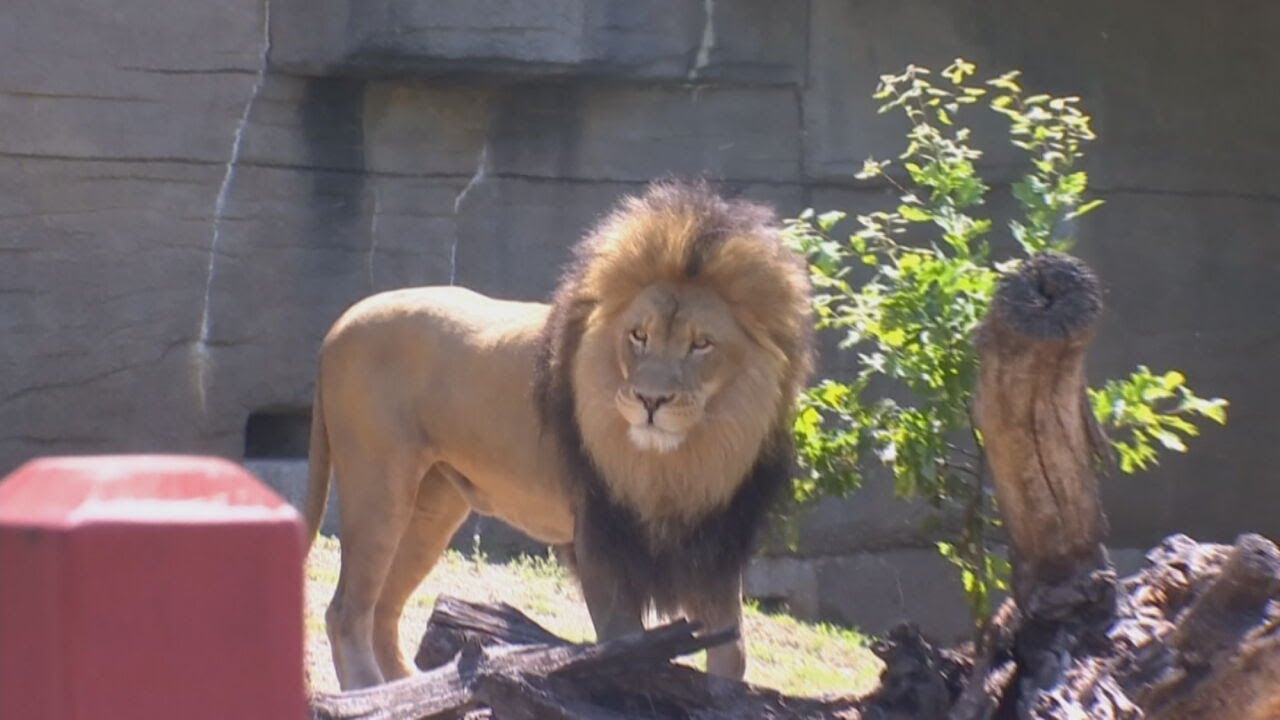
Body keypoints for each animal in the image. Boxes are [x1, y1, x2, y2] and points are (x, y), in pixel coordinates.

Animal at [304, 180, 813, 690]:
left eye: (701, 344)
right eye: (638, 335)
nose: (650, 401)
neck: (678, 461)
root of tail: (340, 323)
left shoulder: (714, 542)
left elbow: (733, 655)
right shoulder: (600, 541)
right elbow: (629, 647)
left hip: (433, 503)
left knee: (384, 606)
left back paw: (405, 687)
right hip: (378, 485)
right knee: (346, 609)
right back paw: (366, 693)